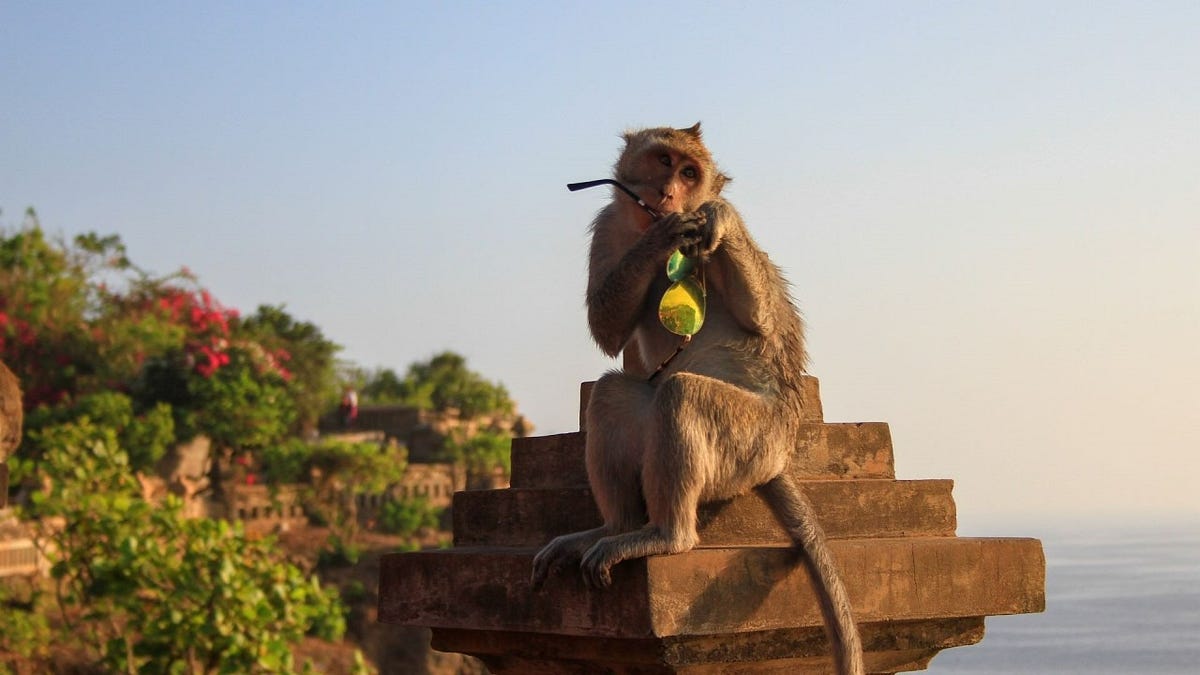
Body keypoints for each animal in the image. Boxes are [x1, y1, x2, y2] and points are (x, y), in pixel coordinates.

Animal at [531, 124, 864, 674]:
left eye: (690, 173)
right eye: (663, 161)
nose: (670, 193)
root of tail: (780, 456)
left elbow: (761, 318)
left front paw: (711, 218)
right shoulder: (606, 225)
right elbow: (606, 328)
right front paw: (656, 240)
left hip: (752, 443)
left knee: (682, 394)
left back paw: (666, 536)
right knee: (614, 394)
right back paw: (616, 527)